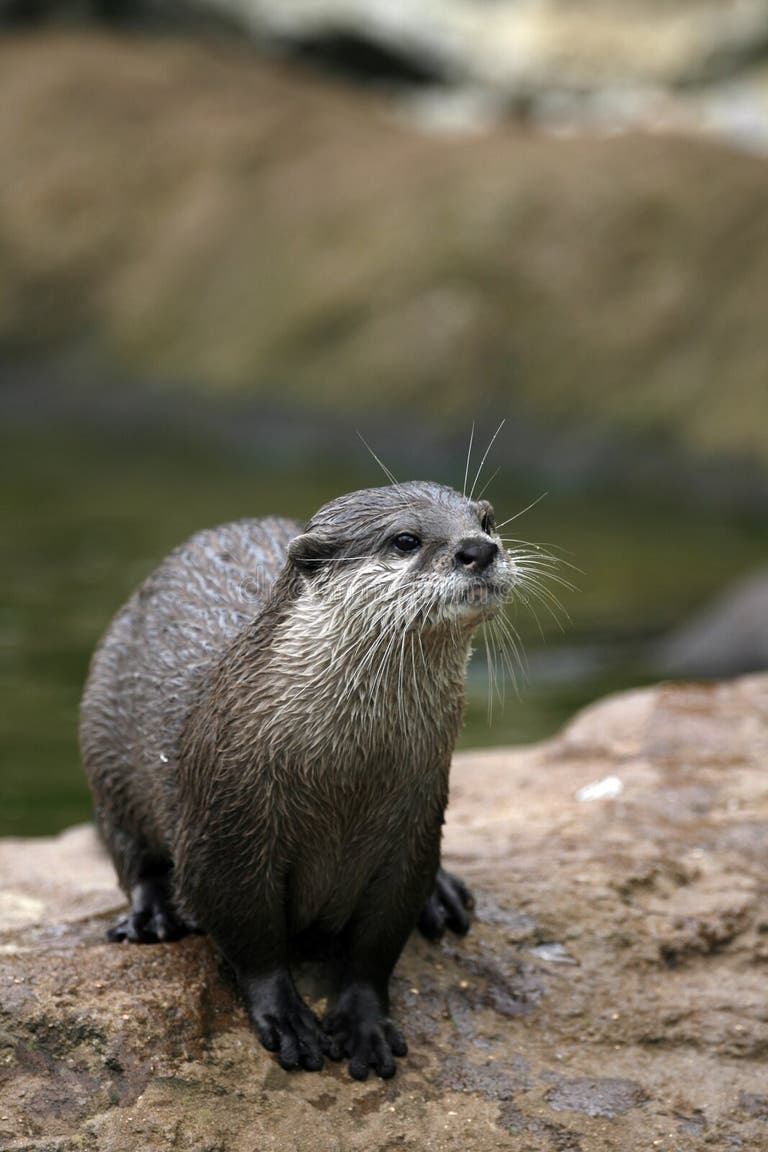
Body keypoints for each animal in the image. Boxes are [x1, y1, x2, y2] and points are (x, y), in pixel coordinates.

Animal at [80, 481, 519, 1079]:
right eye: (405, 539)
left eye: (486, 521)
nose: (478, 549)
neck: (348, 778)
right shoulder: (226, 829)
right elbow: (250, 934)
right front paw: (286, 1017)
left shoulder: (414, 826)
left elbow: (378, 940)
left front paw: (363, 1023)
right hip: (102, 743)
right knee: (126, 846)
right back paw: (152, 915)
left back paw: (444, 896)